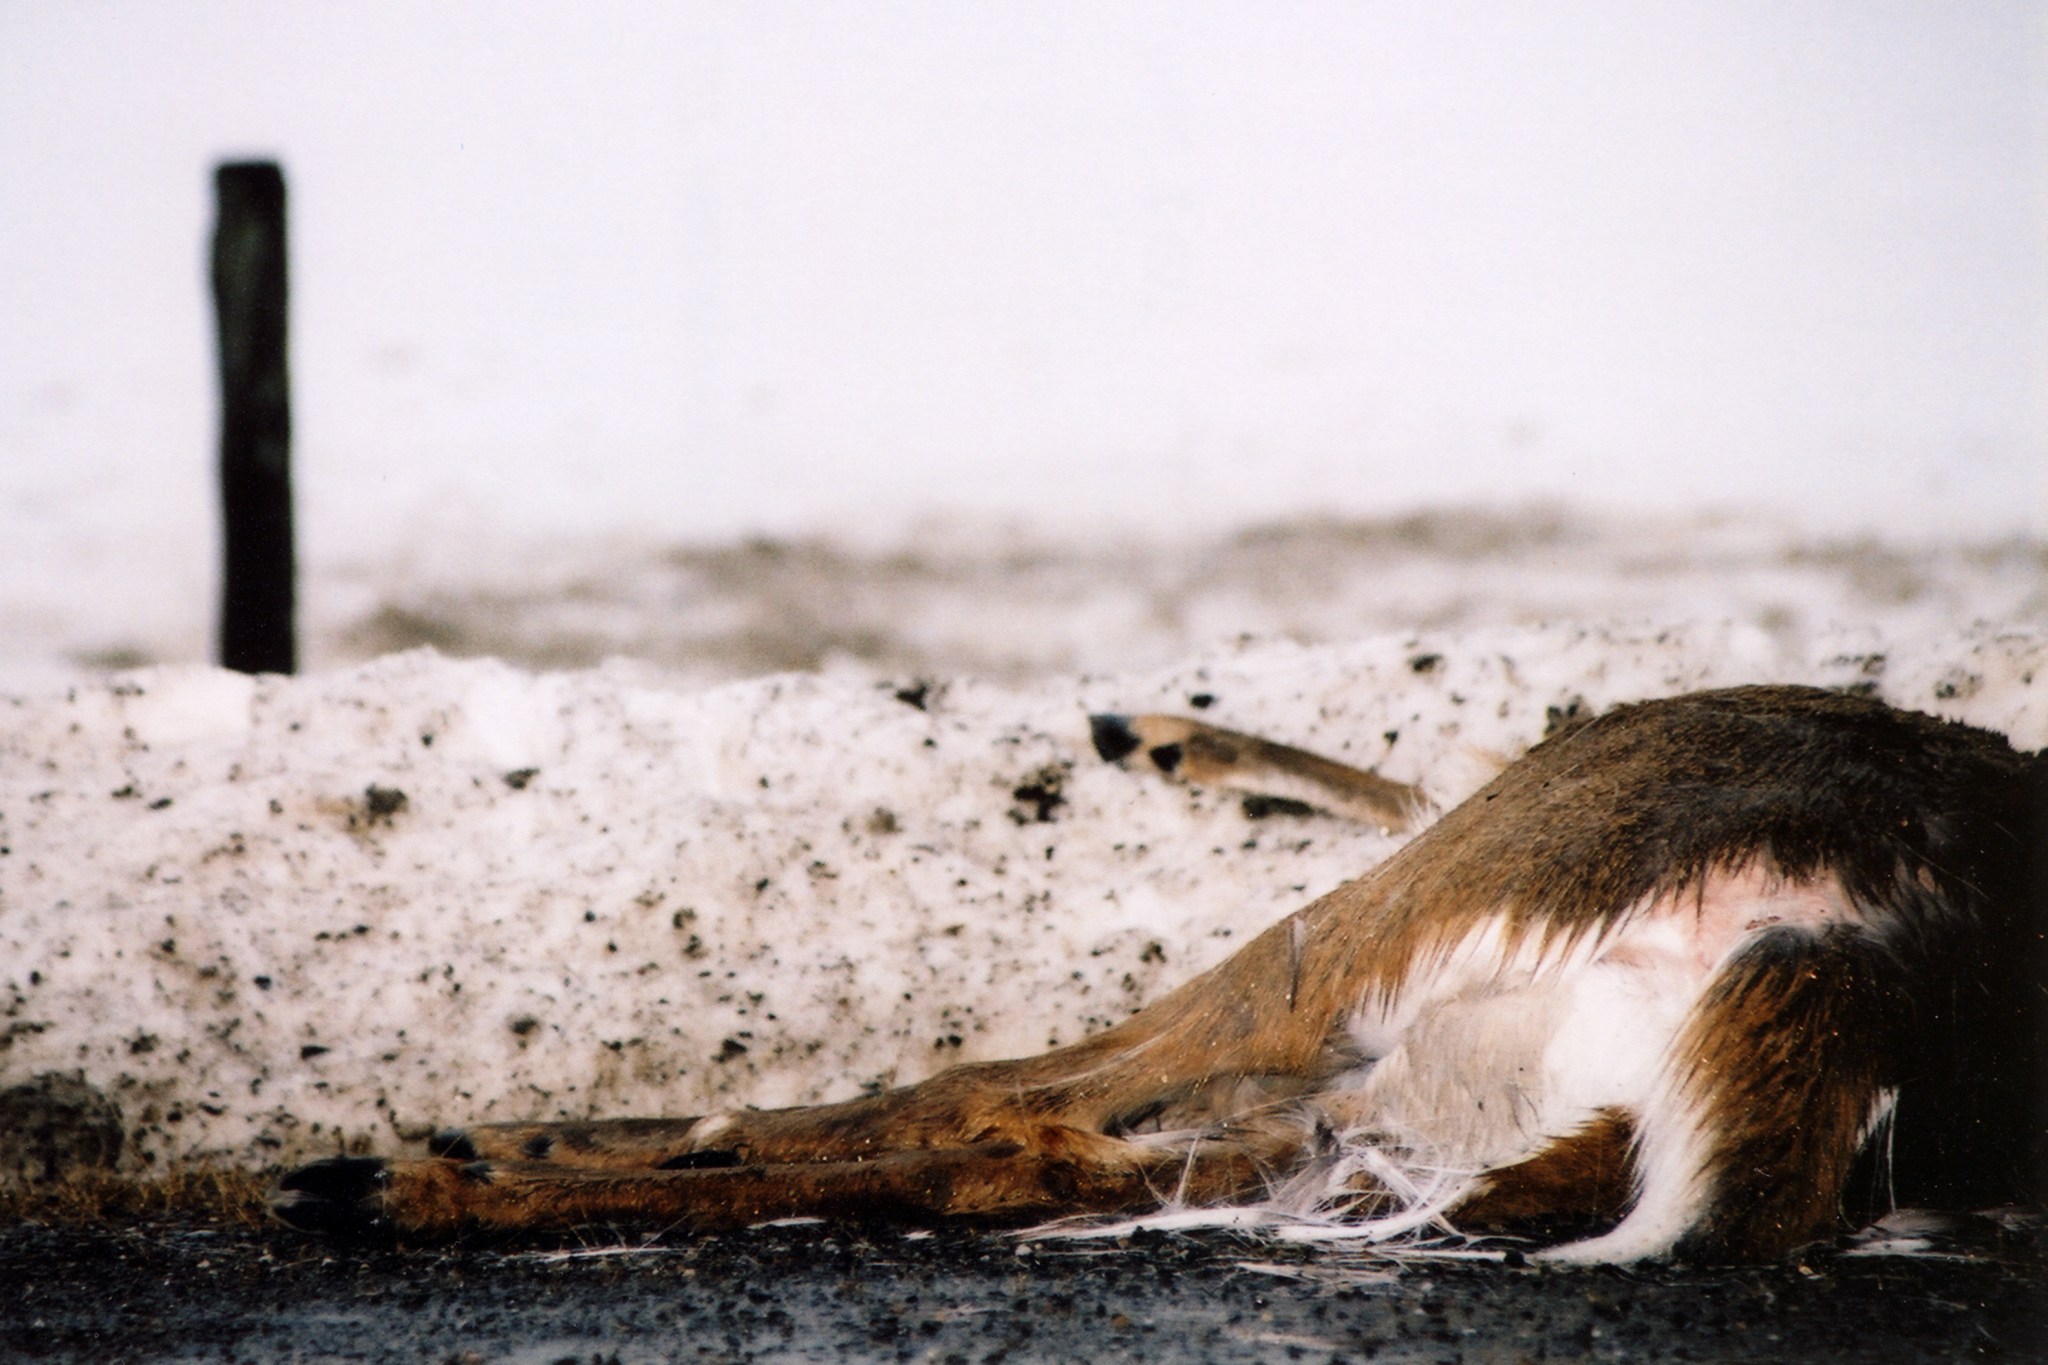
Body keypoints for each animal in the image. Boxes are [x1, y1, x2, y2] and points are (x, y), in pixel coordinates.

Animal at [274, 684, 2042, 1263]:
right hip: (1436, 1100)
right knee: (1049, 1151)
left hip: (1471, 885)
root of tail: (1885, 972)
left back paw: (402, 1177)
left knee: (996, 1099)